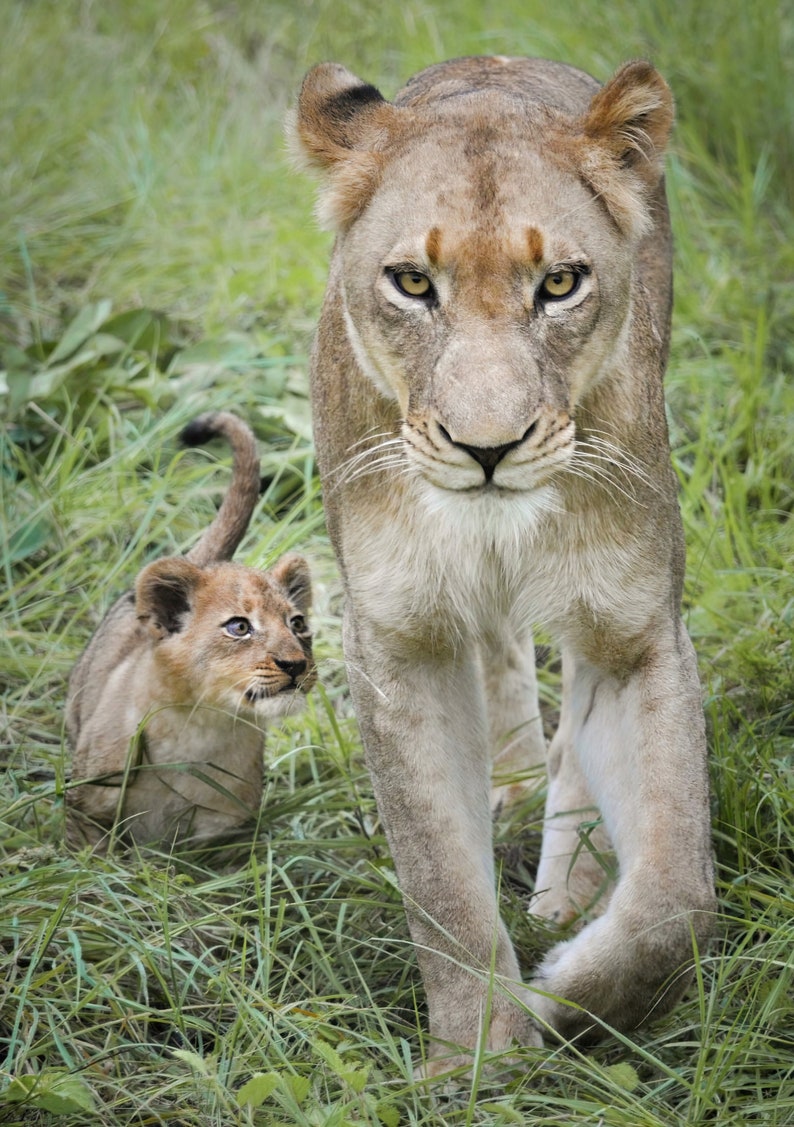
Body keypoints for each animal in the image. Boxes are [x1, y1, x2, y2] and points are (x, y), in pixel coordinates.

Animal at [65, 411, 316, 852]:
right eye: (239, 627)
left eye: (297, 624)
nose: (296, 665)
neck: (202, 730)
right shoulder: (82, 808)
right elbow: (90, 856)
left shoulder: (225, 838)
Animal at [291, 54, 715, 1073]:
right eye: (412, 281)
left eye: (559, 283)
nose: (488, 448)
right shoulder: (397, 642)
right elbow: (441, 881)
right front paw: (481, 1057)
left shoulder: (638, 630)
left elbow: (677, 897)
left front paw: (572, 997)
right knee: (499, 654)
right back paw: (518, 794)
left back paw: (568, 883)